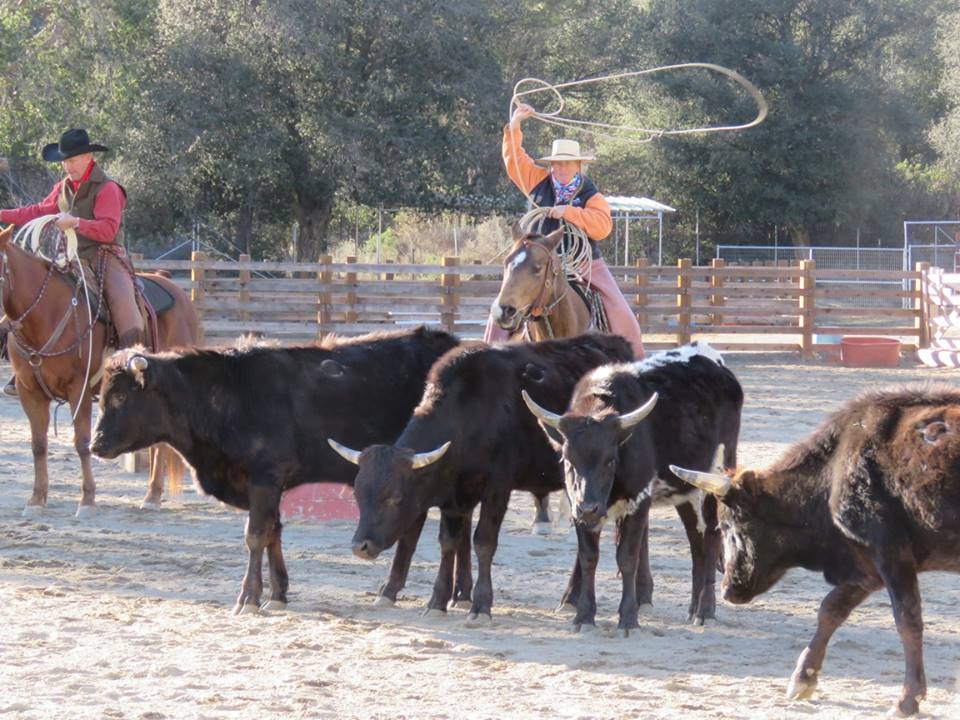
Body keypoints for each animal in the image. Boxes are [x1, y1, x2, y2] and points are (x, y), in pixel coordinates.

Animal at [0, 223, 200, 516]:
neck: (47, 313)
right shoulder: (29, 392)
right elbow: (38, 445)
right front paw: (36, 499)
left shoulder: (78, 389)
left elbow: (82, 443)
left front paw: (87, 500)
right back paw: (152, 494)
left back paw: (152, 496)